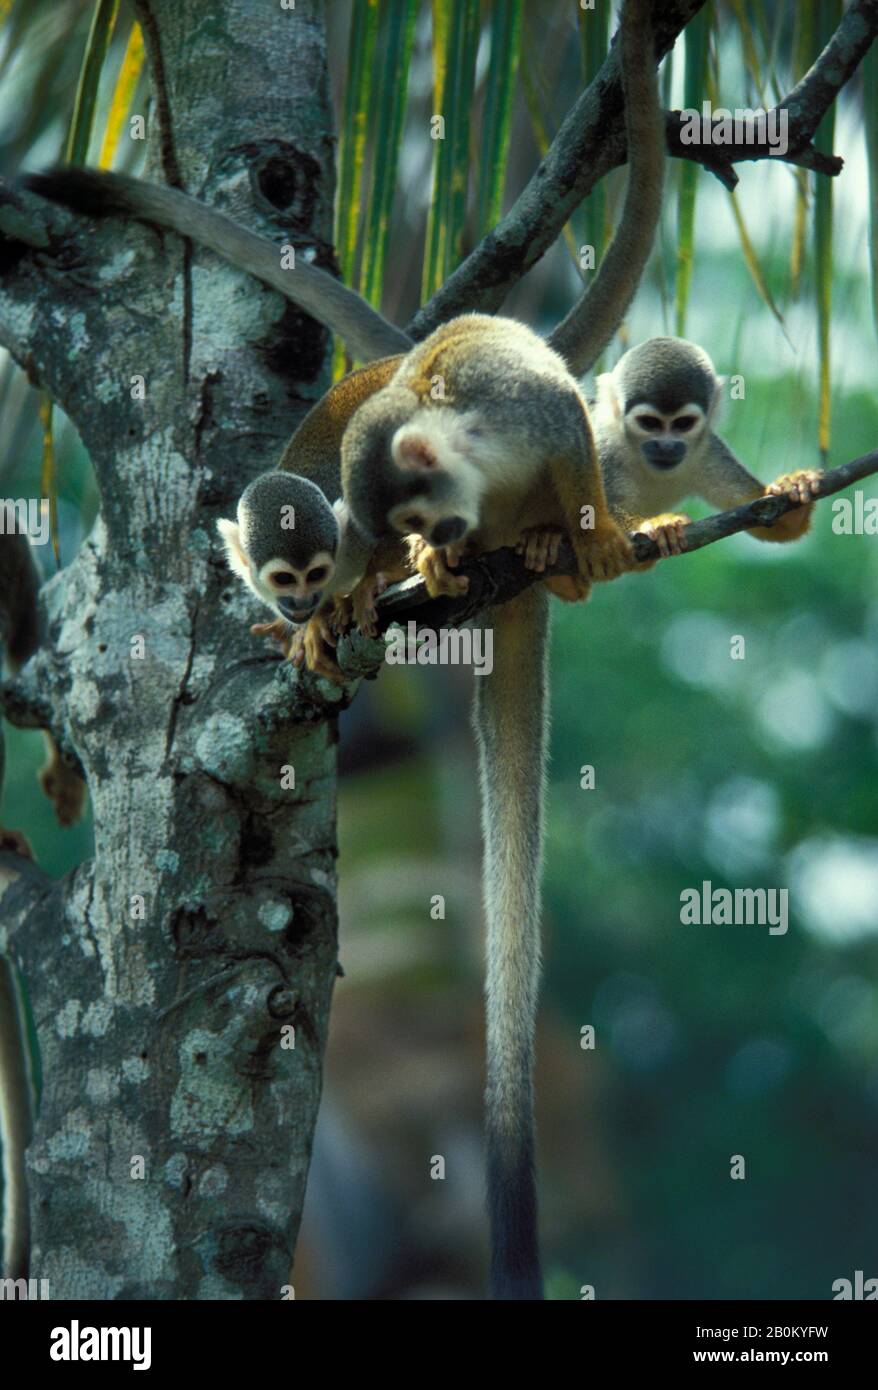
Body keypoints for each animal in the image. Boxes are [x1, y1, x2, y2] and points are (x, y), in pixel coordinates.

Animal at [590, 337, 822, 556]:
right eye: (649, 423)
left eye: (683, 423)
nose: (666, 446)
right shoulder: (603, 449)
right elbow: (590, 519)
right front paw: (657, 526)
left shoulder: (708, 451)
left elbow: (770, 517)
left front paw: (795, 485)